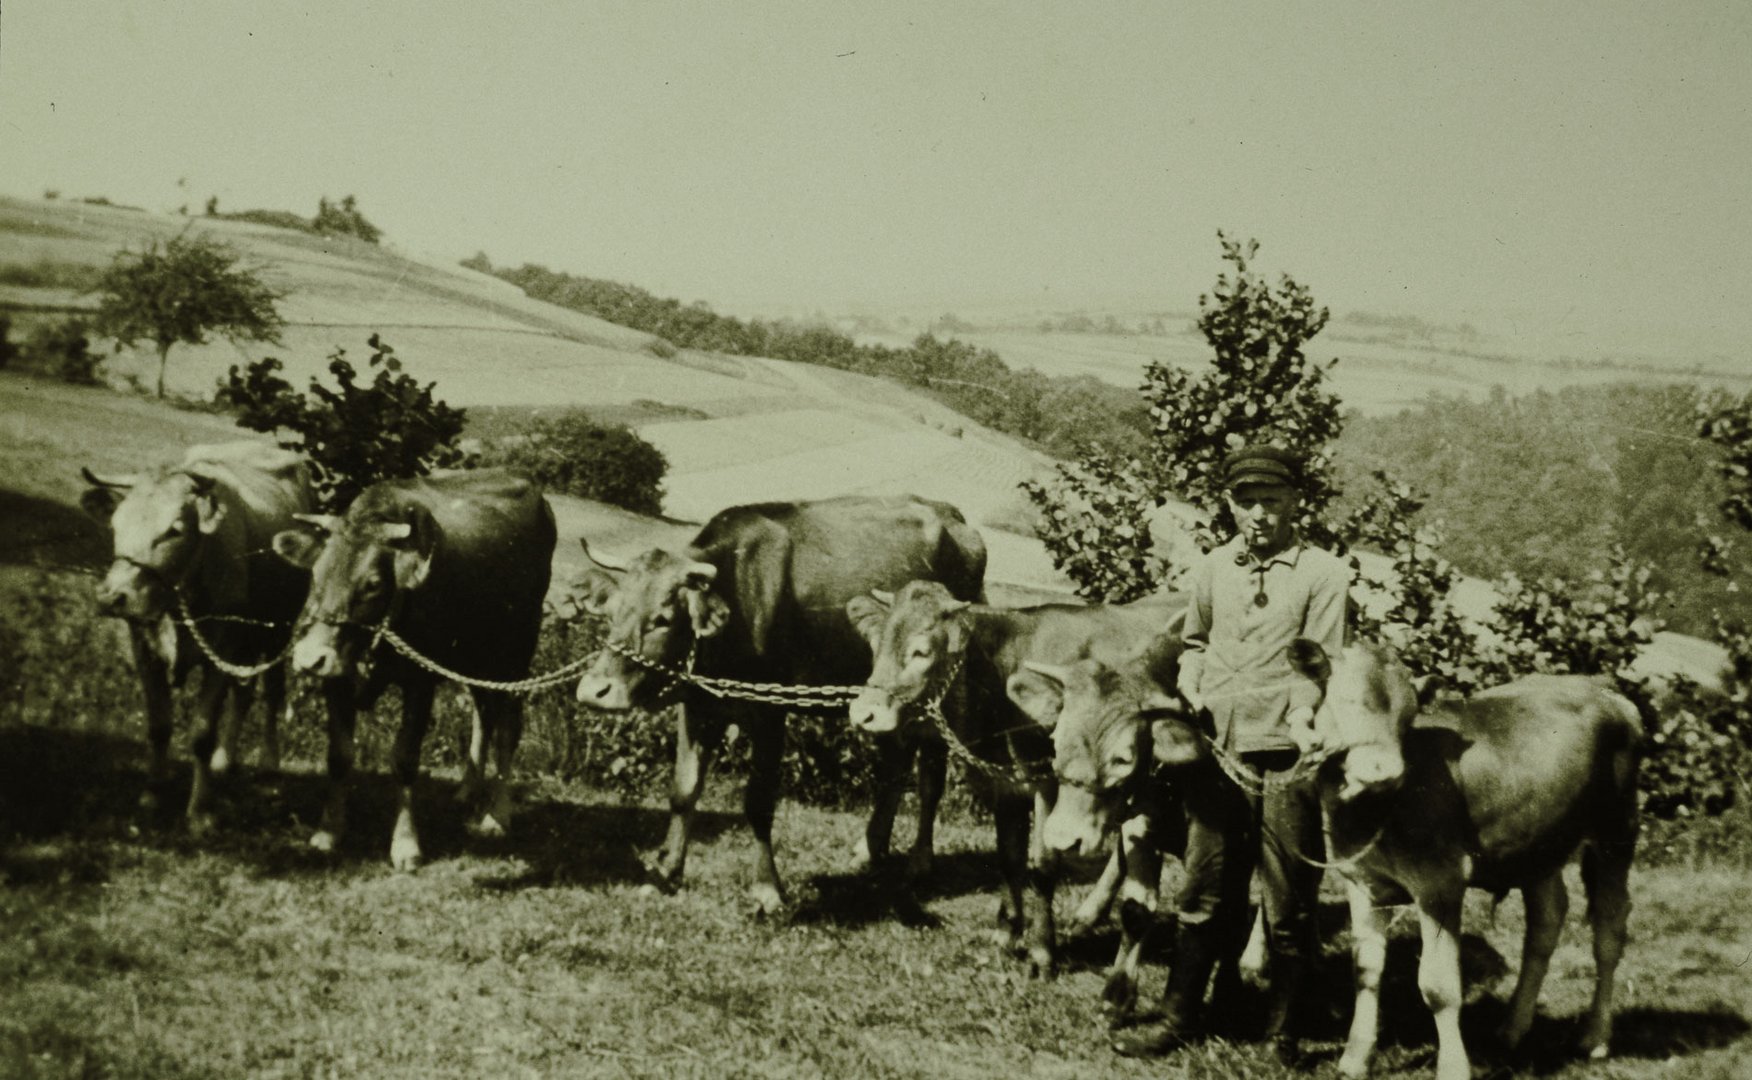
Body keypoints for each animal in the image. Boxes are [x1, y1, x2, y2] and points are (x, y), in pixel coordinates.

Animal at [1289, 641, 1639, 1080]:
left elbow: (1438, 986)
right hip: (1539, 842)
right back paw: (1511, 1028)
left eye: (1408, 717)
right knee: (1547, 920)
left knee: (1609, 932)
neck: (1370, 813)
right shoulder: (1362, 882)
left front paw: (1454, 1066)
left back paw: (1594, 1037)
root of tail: (1602, 687)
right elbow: (1365, 972)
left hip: (1616, 830)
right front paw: (1355, 1058)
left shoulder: (1439, 883)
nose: (1385, 771)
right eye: (1347, 700)